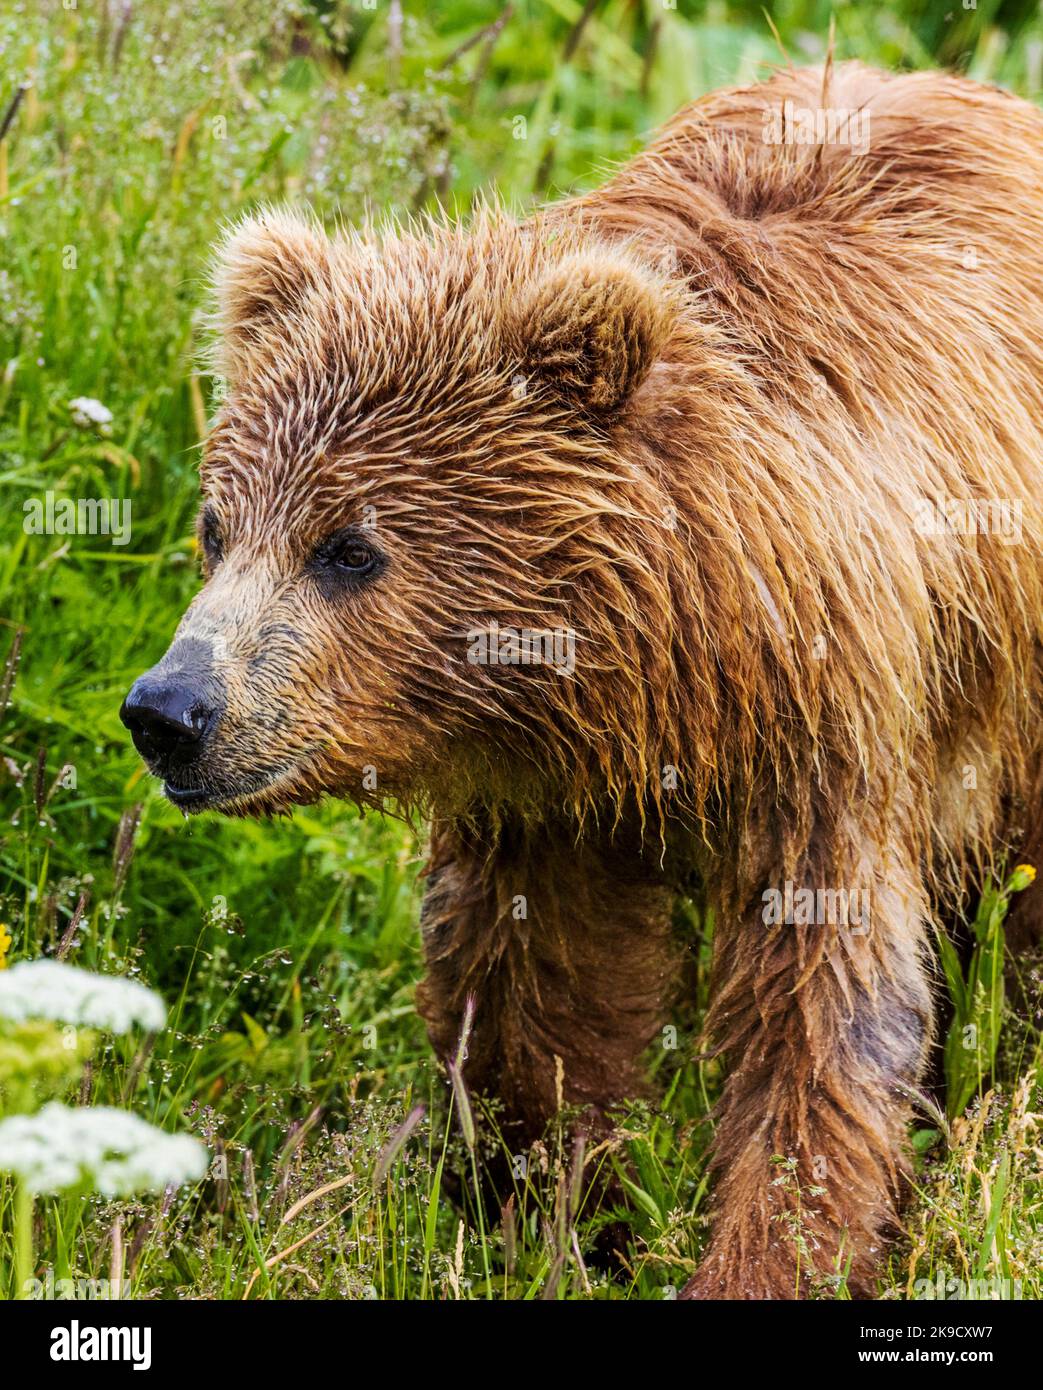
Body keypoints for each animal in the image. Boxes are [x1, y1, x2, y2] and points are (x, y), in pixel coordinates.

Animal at [121, 61, 1043, 1299]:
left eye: (349, 548)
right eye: (217, 529)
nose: (170, 708)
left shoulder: (833, 729)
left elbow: (819, 1008)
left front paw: (768, 1249)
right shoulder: (544, 798)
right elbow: (533, 987)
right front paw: (556, 1204)